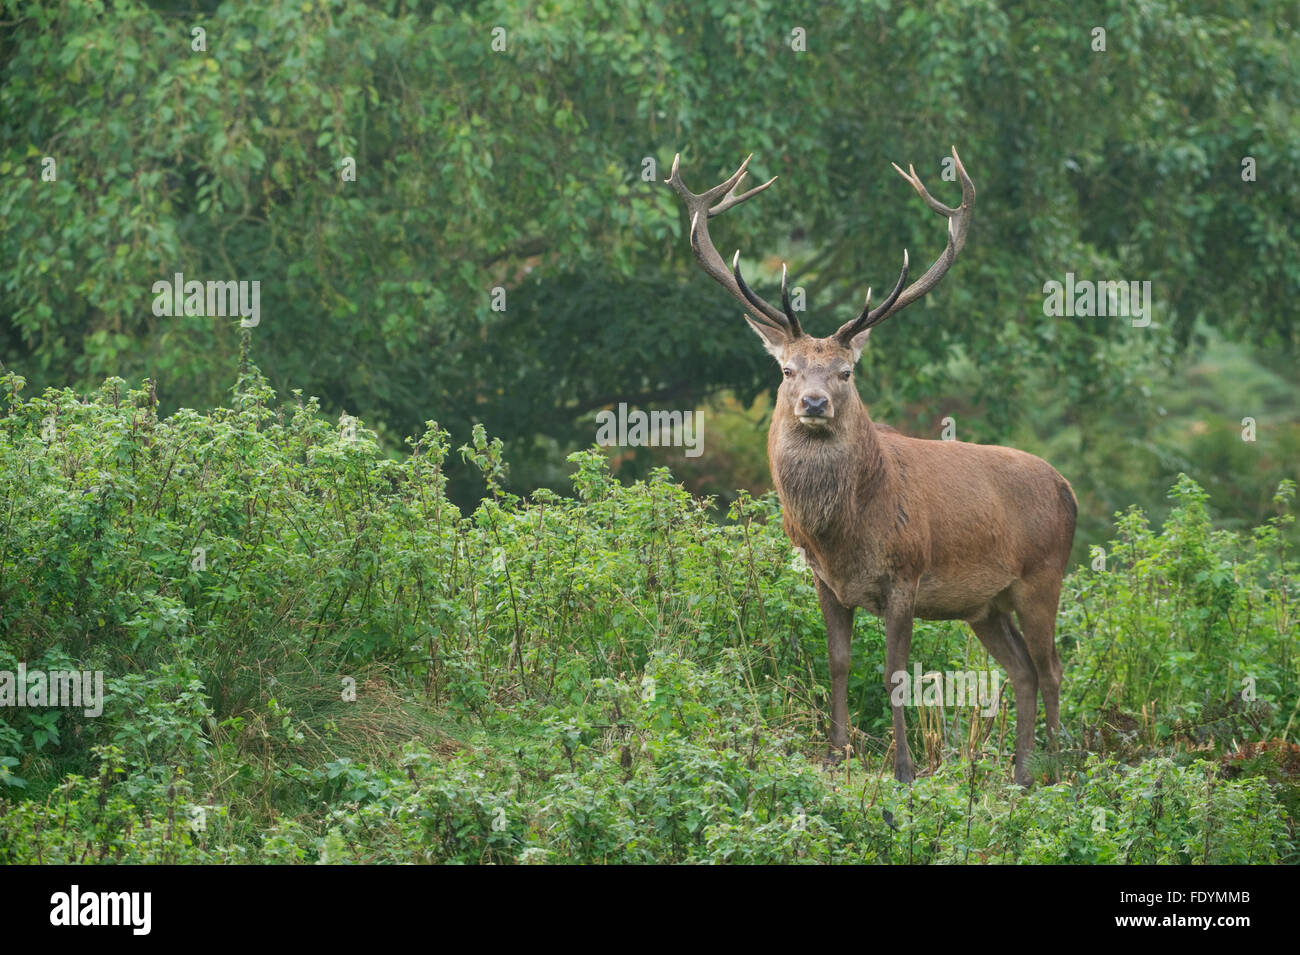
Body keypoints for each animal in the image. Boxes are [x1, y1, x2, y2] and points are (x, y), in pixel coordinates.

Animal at [666, 148, 1076, 786]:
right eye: (787, 369)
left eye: (846, 372)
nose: (814, 403)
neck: (842, 532)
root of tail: (1068, 489)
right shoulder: (824, 580)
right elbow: (836, 663)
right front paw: (836, 754)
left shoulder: (905, 576)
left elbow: (895, 676)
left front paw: (904, 768)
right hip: (986, 605)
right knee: (1023, 670)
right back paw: (1019, 773)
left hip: (1043, 576)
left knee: (1052, 665)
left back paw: (1053, 770)